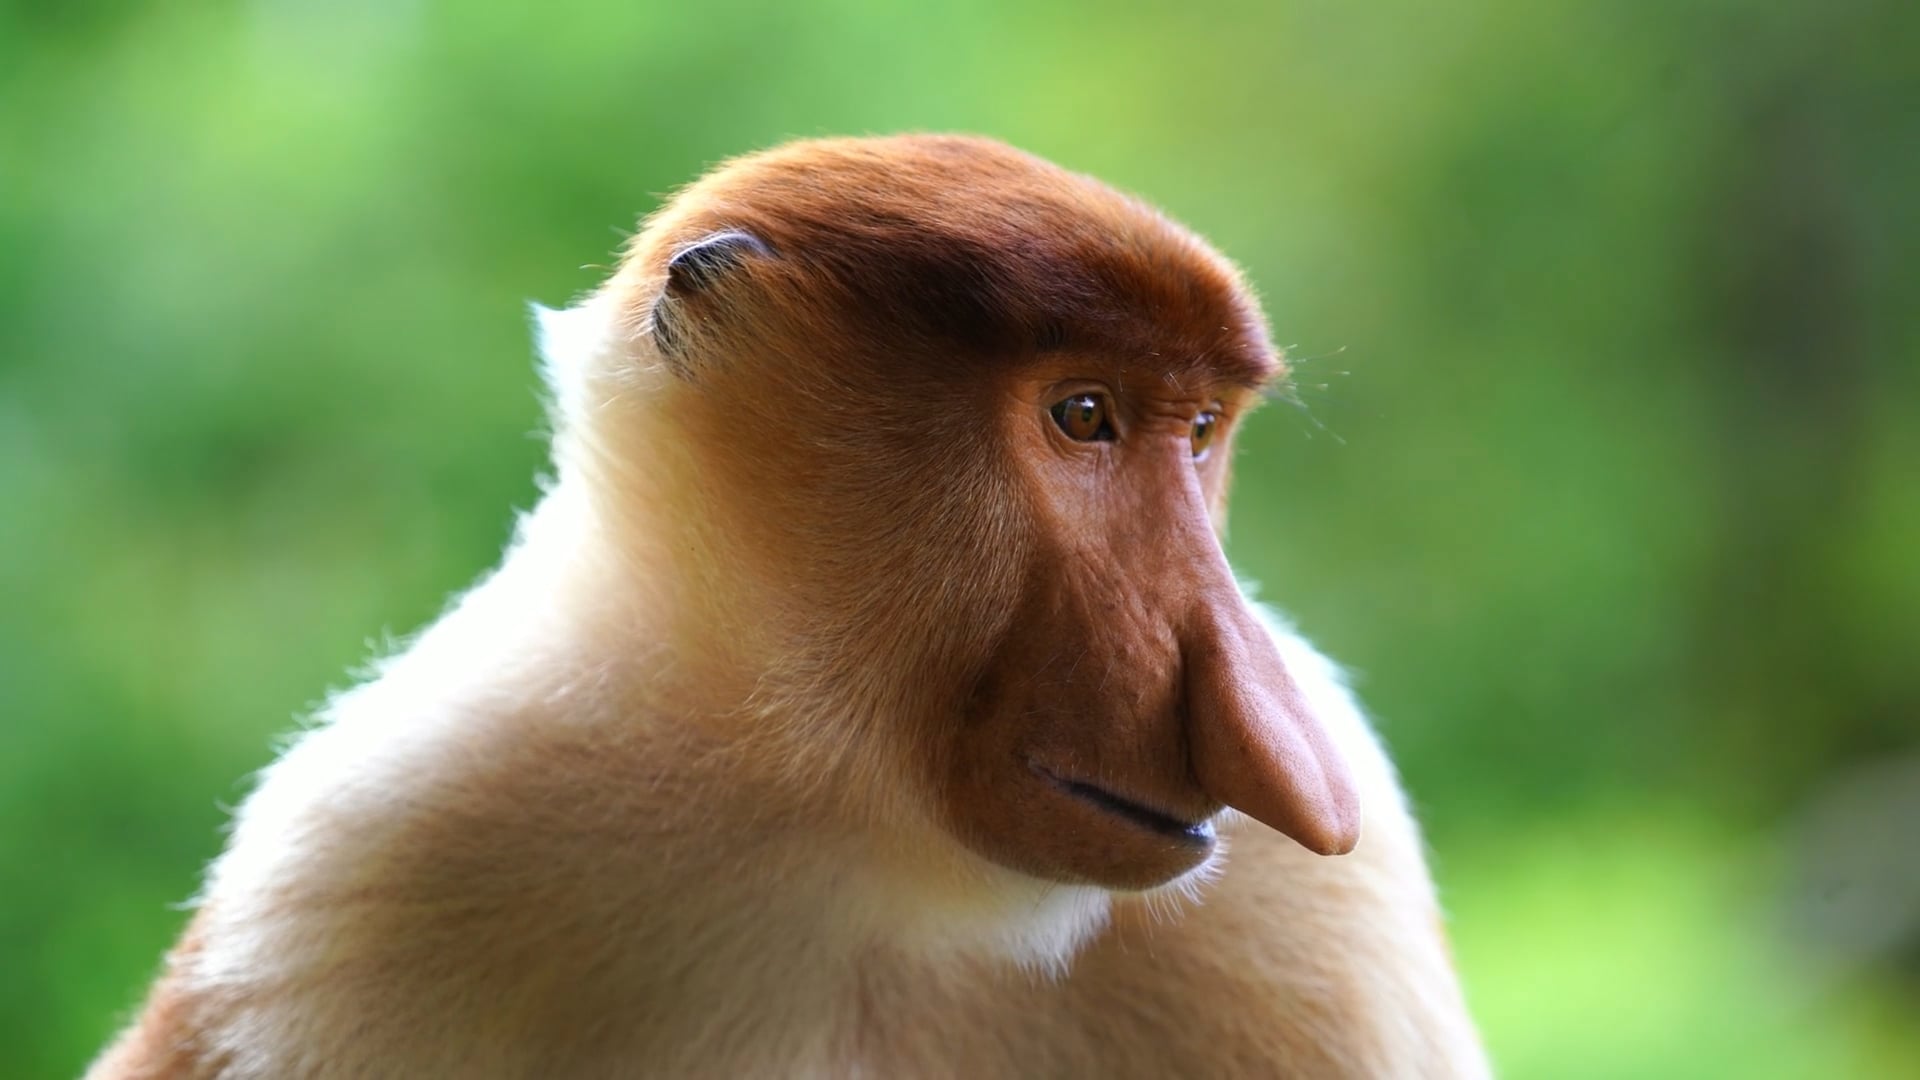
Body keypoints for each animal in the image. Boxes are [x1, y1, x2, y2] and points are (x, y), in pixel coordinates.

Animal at [87, 134, 1489, 1079]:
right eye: (1083, 415)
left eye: (1199, 433)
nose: (1273, 735)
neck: (841, 835)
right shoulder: (372, 862)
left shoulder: (1316, 922)